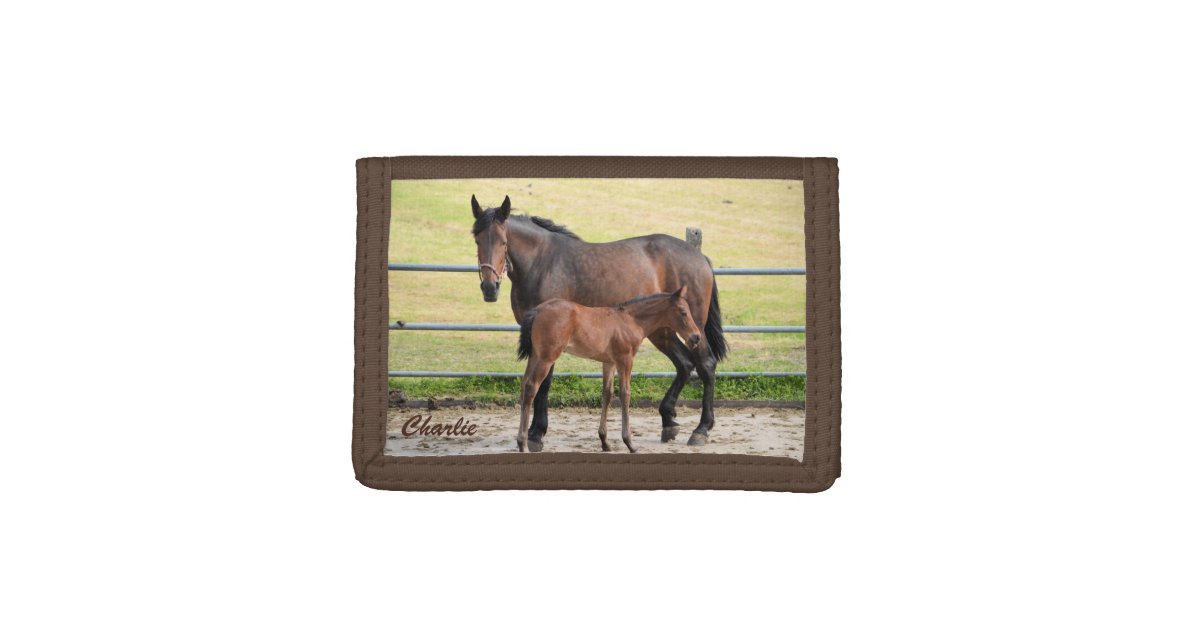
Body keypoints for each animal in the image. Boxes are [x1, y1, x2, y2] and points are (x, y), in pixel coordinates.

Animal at [514, 287, 704, 453]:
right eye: (683, 312)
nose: (696, 337)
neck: (631, 321)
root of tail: (538, 310)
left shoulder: (609, 363)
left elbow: (607, 394)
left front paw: (605, 442)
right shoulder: (626, 360)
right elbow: (625, 394)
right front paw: (629, 443)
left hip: (535, 356)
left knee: (524, 385)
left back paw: (519, 441)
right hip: (547, 358)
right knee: (531, 387)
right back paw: (523, 444)